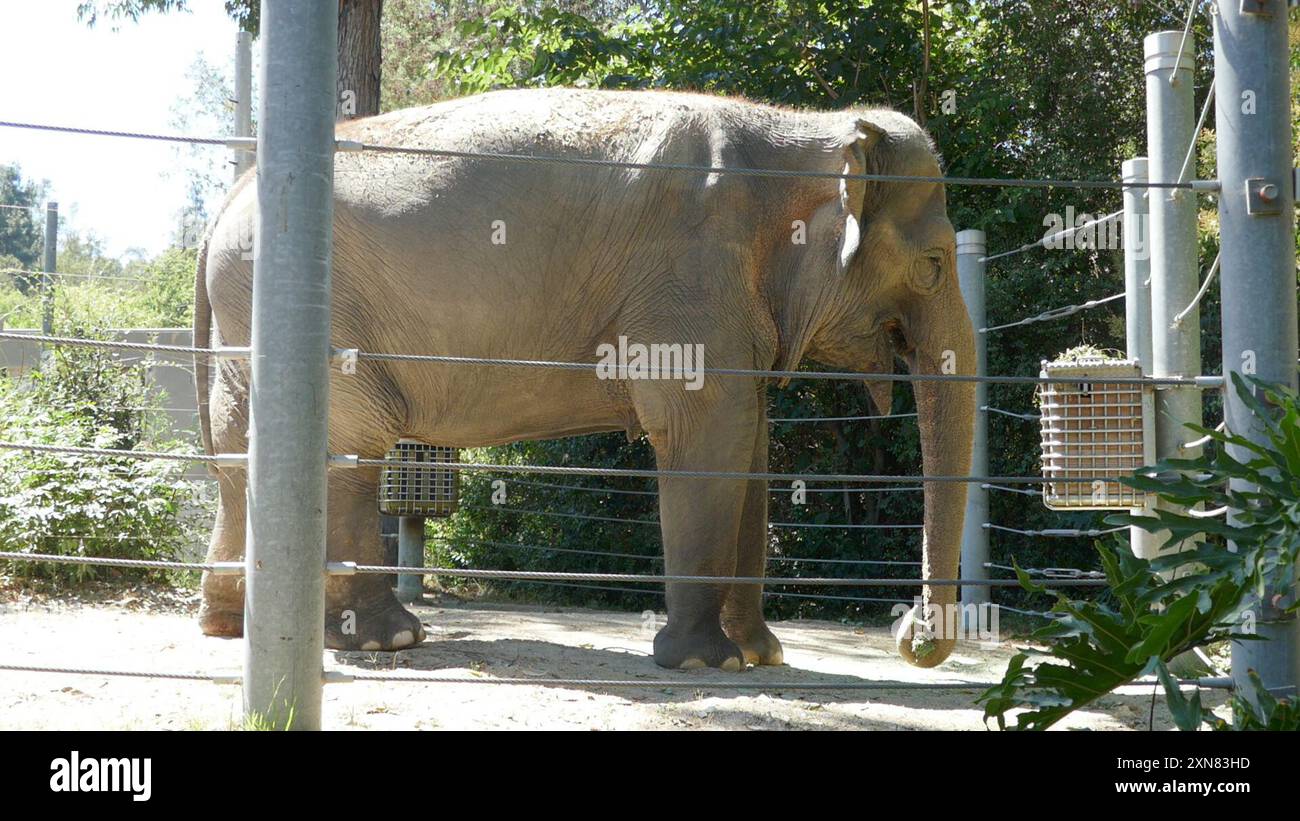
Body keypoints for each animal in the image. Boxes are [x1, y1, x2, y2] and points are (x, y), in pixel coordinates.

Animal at [194, 87, 976, 671]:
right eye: (934, 264)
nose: (908, 633)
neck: (804, 130)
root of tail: (228, 199)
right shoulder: (688, 280)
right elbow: (705, 437)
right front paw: (704, 662)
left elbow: (751, 447)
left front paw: (762, 656)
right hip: (322, 317)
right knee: (350, 447)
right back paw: (389, 638)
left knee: (240, 459)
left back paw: (229, 626)